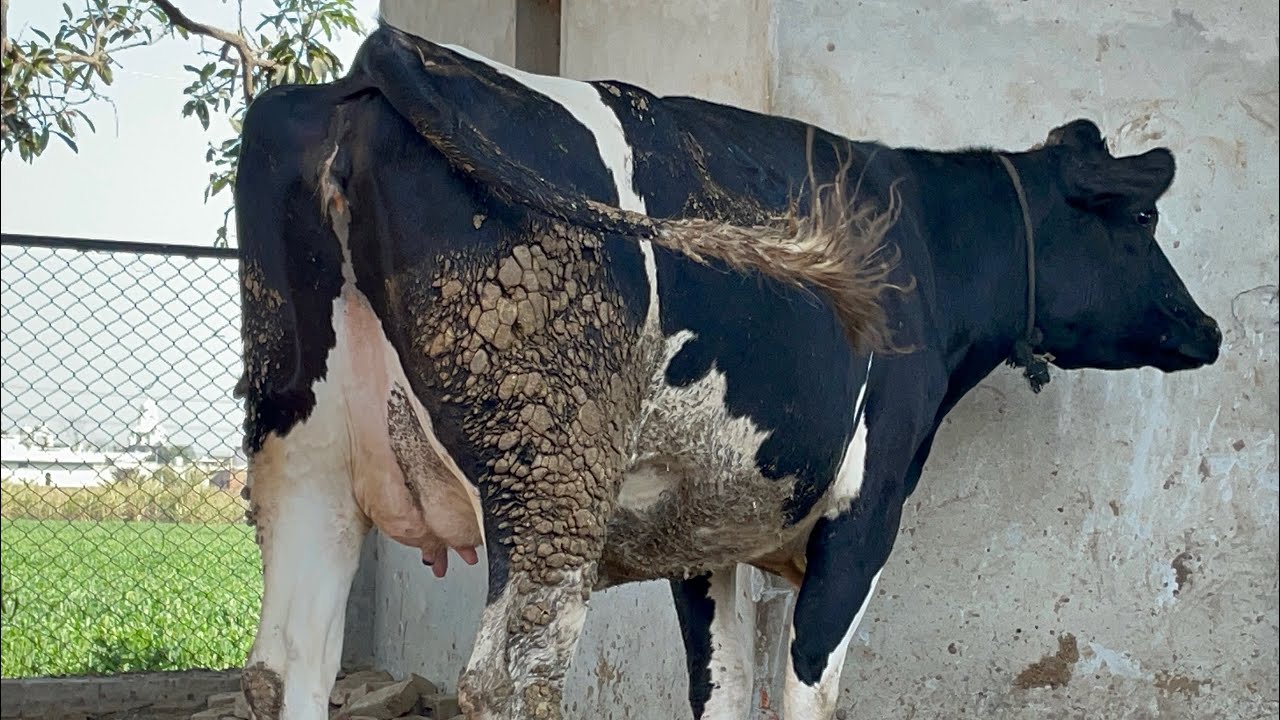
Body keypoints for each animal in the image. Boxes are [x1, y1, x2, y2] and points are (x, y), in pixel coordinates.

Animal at [232, 21, 1222, 720]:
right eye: (1142, 223)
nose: (1206, 328)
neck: (927, 244)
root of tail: (379, 64)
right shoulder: (865, 517)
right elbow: (808, 686)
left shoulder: (703, 536)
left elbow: (724, 687)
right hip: (550, 478)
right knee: (509, 681)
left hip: (307, 460)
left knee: (288, 668)